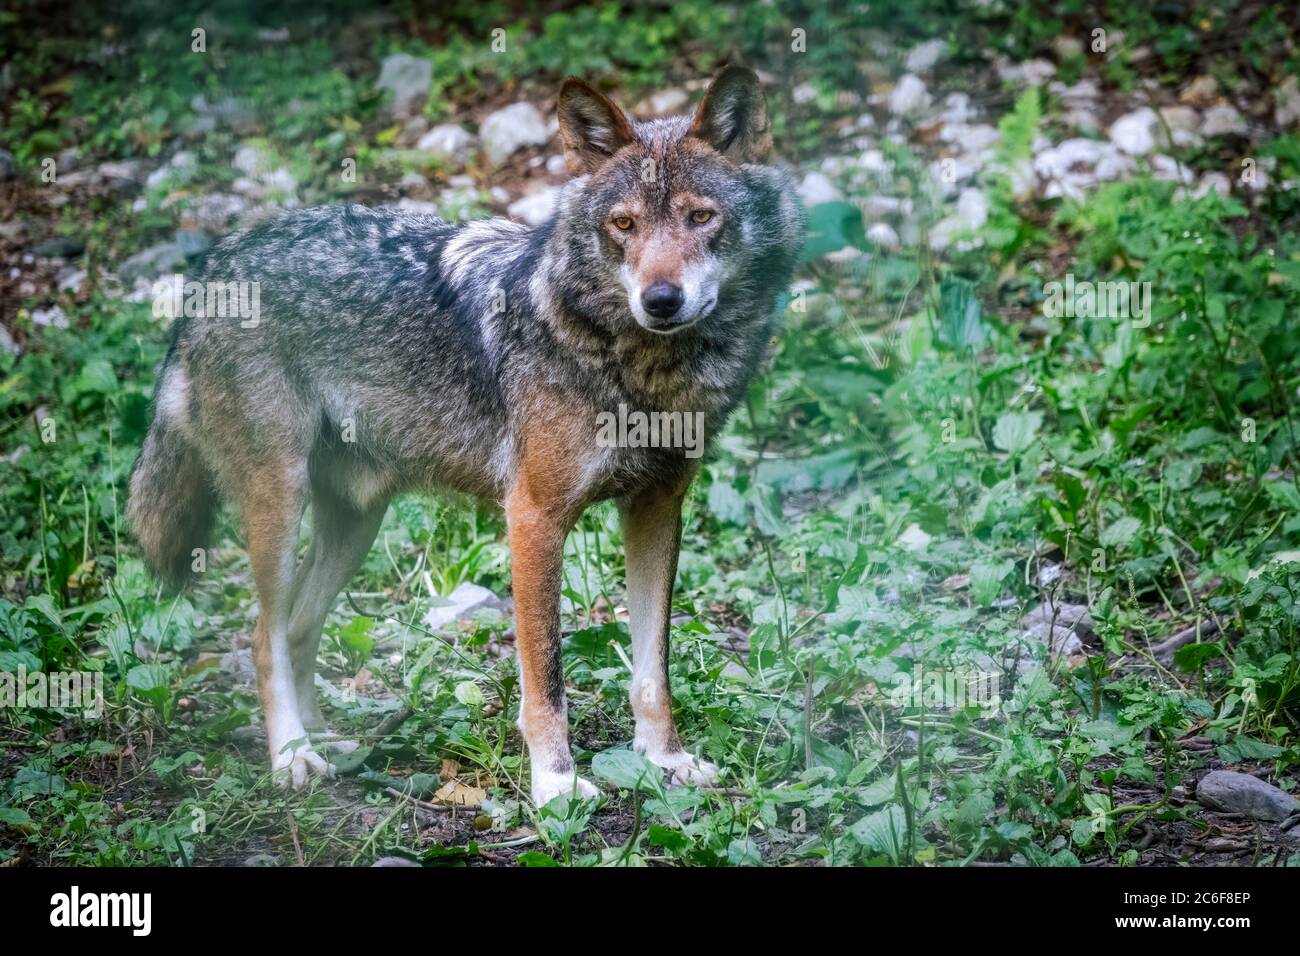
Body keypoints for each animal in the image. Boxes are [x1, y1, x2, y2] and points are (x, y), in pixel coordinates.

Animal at [127, 66, 803, 805]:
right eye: (623, 225)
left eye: (700, 217)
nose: (660, 300)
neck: (643, 371)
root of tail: (213, 267)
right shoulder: (533, 517)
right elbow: (546, 677)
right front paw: (556, 785)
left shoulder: (657, 509)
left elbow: (654, 669)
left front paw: (665, 760)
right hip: (280, 504)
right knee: (263, 636)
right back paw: (294, 759)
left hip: (356, 523)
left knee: (300, 627)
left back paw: (330, 743)